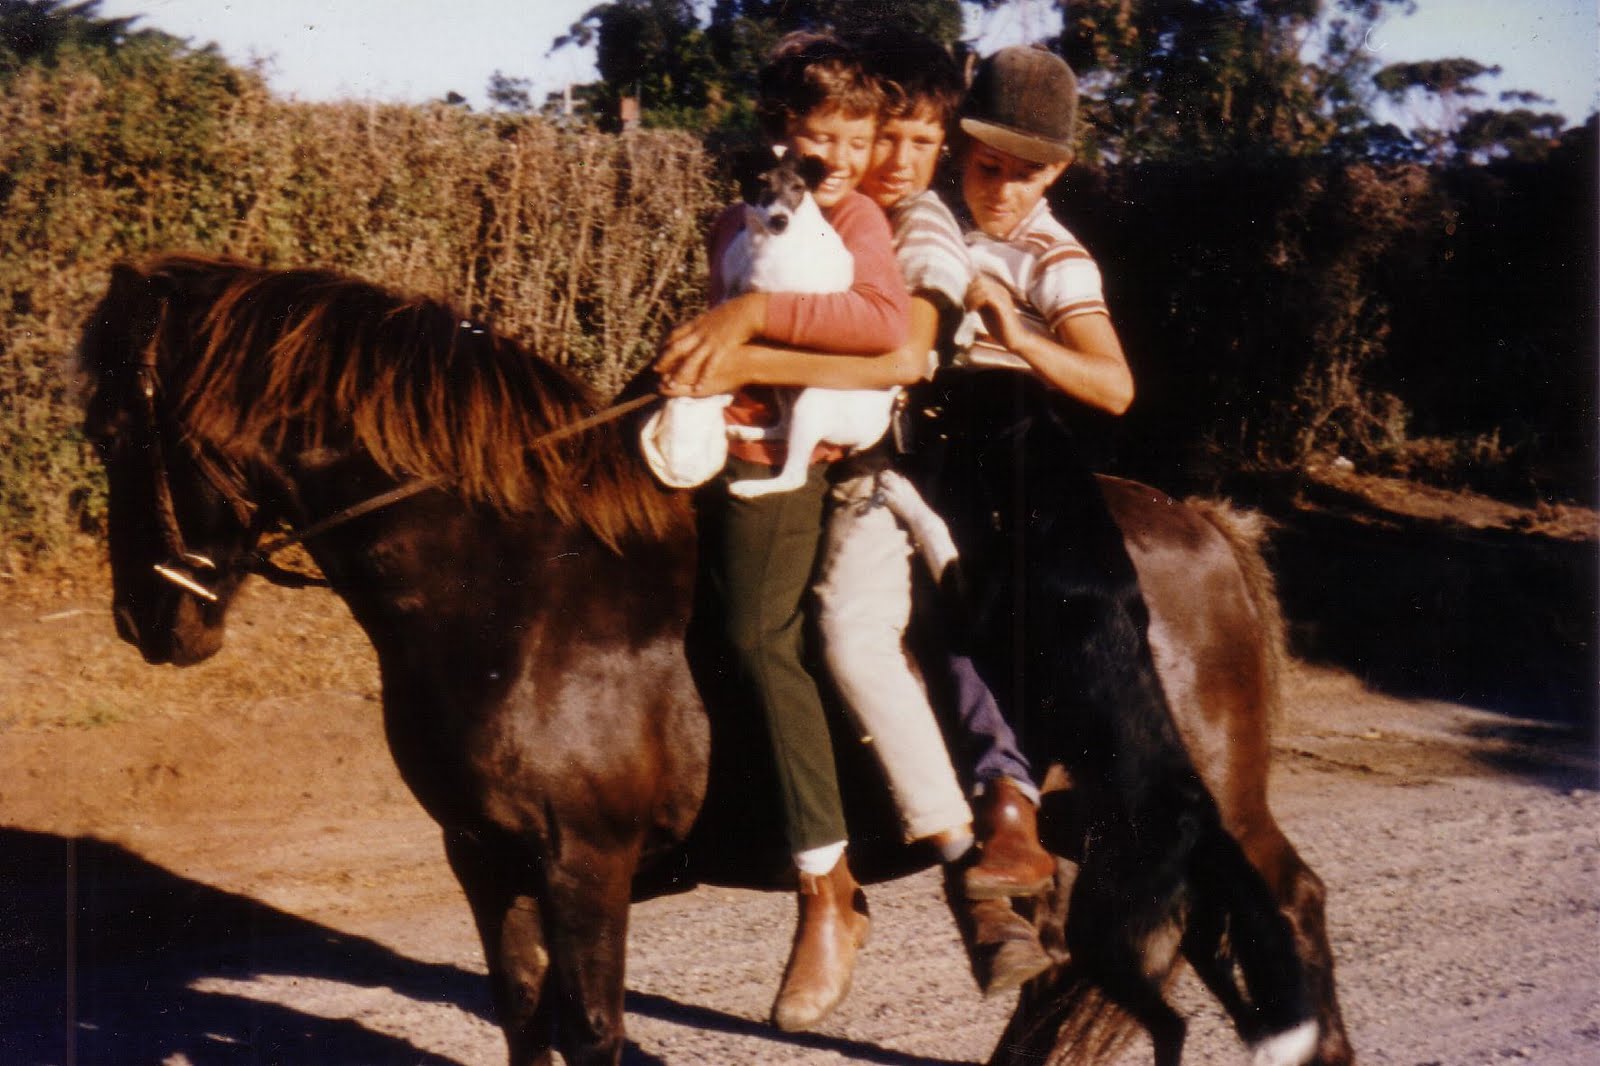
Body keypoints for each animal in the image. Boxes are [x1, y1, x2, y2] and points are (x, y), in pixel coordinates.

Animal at [79, 254, 1351, 1066]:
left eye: (117, 429)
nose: (146, 619)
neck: (520, 587)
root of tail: (1206, 527)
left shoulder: (583, 865)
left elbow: (591, 1031)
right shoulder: (486, 863)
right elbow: (525, 1023)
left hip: (1201, 801)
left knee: (1285, 908)